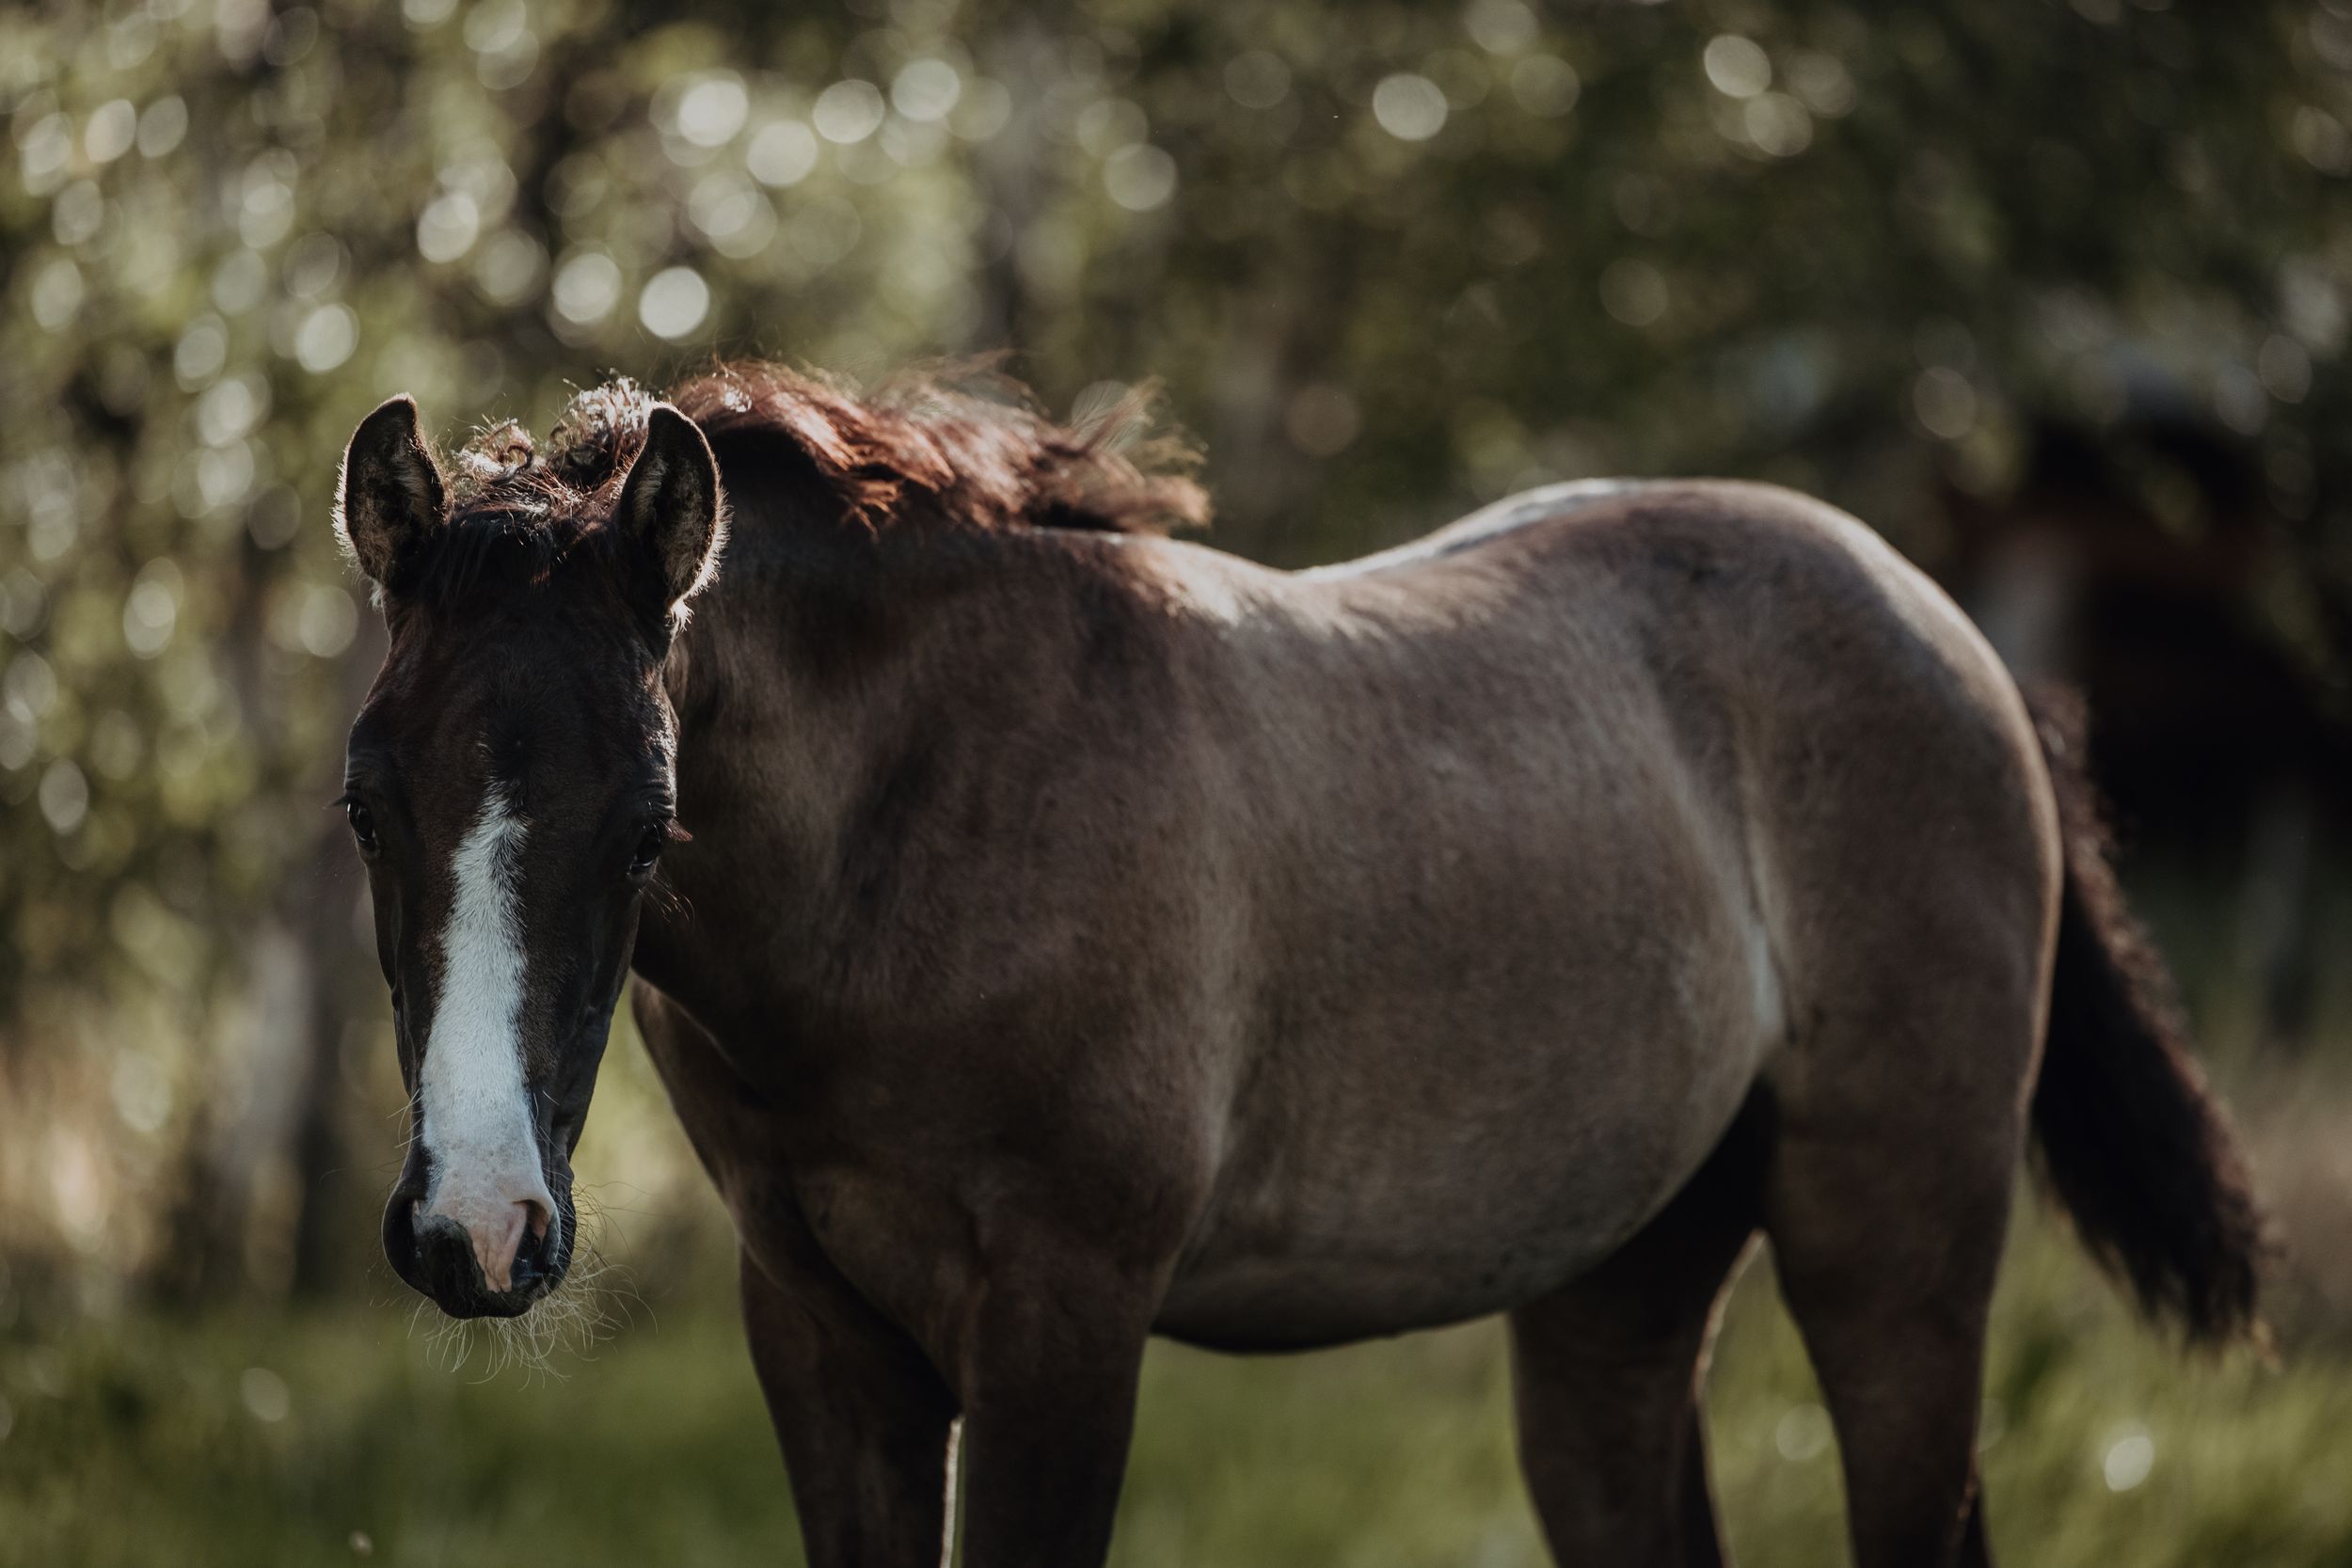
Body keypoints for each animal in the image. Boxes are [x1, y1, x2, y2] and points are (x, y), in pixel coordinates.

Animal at [333, 361, 2264, 1568]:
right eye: (364, 799)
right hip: (1619, 1296)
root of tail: (1945, 626)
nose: (477, 1230)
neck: (924, 829)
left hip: (1898, 1263)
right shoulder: (821, 1331)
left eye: (651, 821)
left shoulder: (1064, 1322)